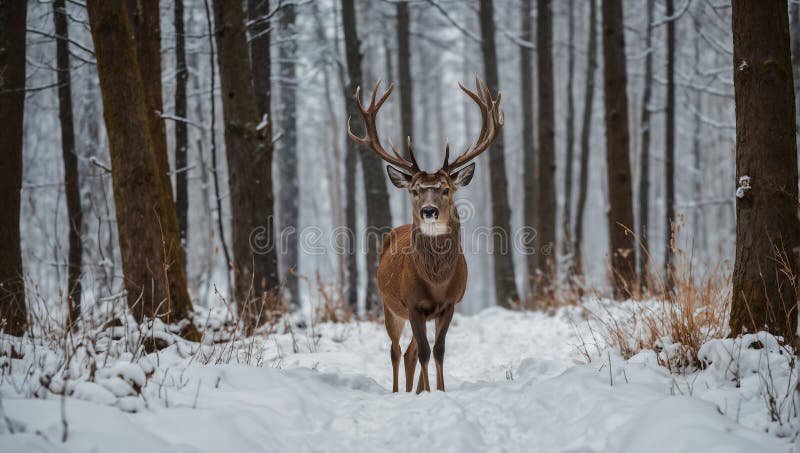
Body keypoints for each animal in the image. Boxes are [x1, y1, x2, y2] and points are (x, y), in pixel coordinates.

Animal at [347, 77, 503, 393]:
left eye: (446, 189)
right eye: (415, 190)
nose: (429, 210)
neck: (437, 283)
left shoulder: (450, 304)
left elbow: (438, 350)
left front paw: (438, 391)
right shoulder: (412, 304)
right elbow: (424, 351)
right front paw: (429, 392)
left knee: (409, 352)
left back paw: (415, 390)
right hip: (389, 307)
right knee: (396, 351)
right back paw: (399, 391)